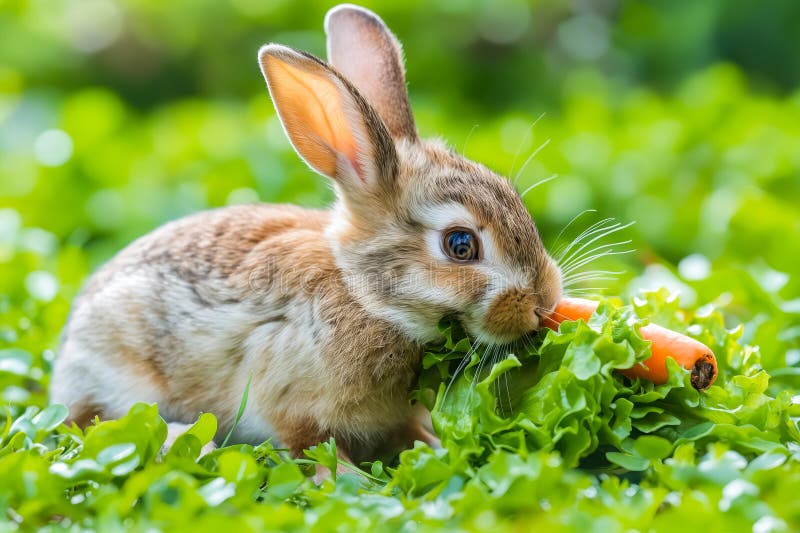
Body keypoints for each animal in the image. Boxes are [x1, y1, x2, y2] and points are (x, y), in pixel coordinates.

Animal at [50, 4, 563, 467]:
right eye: (461, 245)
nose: (544, 304)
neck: (363, 294)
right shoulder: (286, 397)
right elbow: (312, 446)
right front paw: (343, 477)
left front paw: (434, 448)